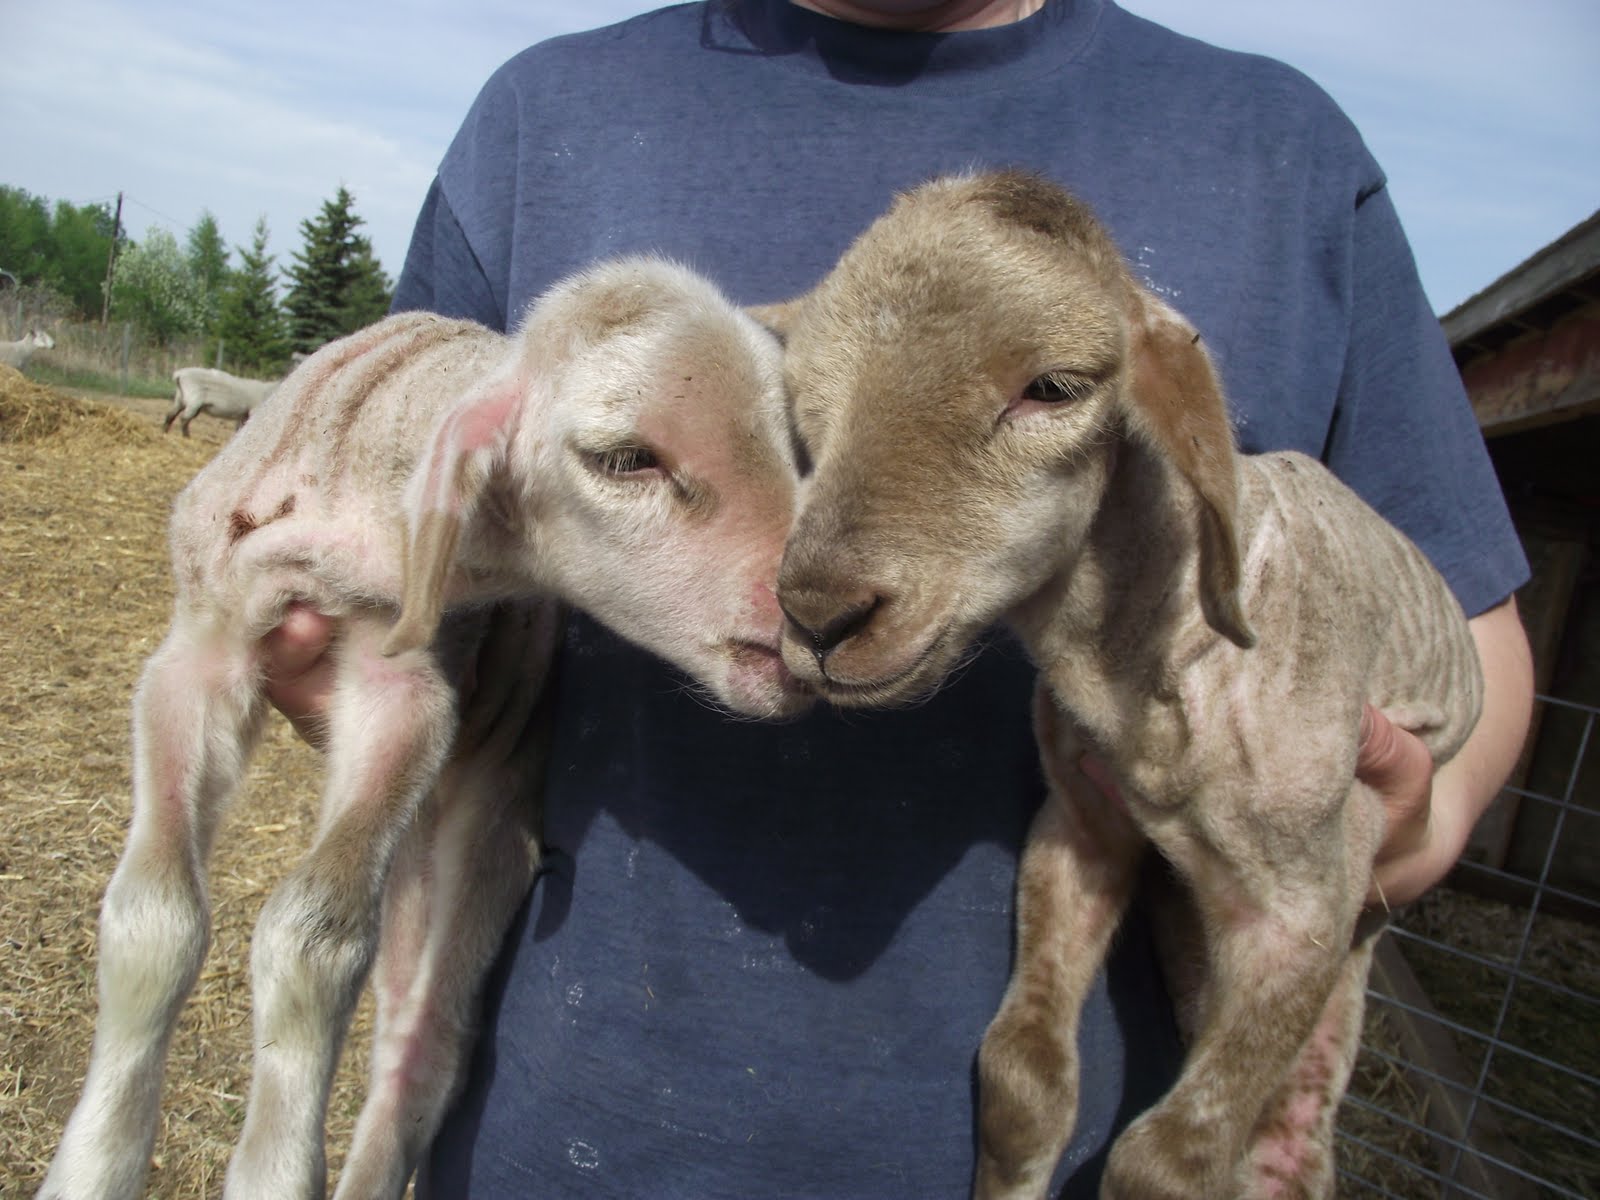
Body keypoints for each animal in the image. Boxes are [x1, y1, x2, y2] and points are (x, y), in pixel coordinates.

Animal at [39, 255, 810, 1200]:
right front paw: (94, 1164)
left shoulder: (407, 689)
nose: (814, 609)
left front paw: (271, 1171)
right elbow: (153, 917)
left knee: (425, 1043)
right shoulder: (198, 652)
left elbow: (313, 936)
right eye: (626, 458)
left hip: (487, 826)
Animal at [763, 172, 1484, 1200]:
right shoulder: (1081, 824)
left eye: (1054, 387)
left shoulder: (1310, 904)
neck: (1156, 668)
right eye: (804, 404)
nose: (821, 615)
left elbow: (1168, 1164)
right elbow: (1022, 1080)